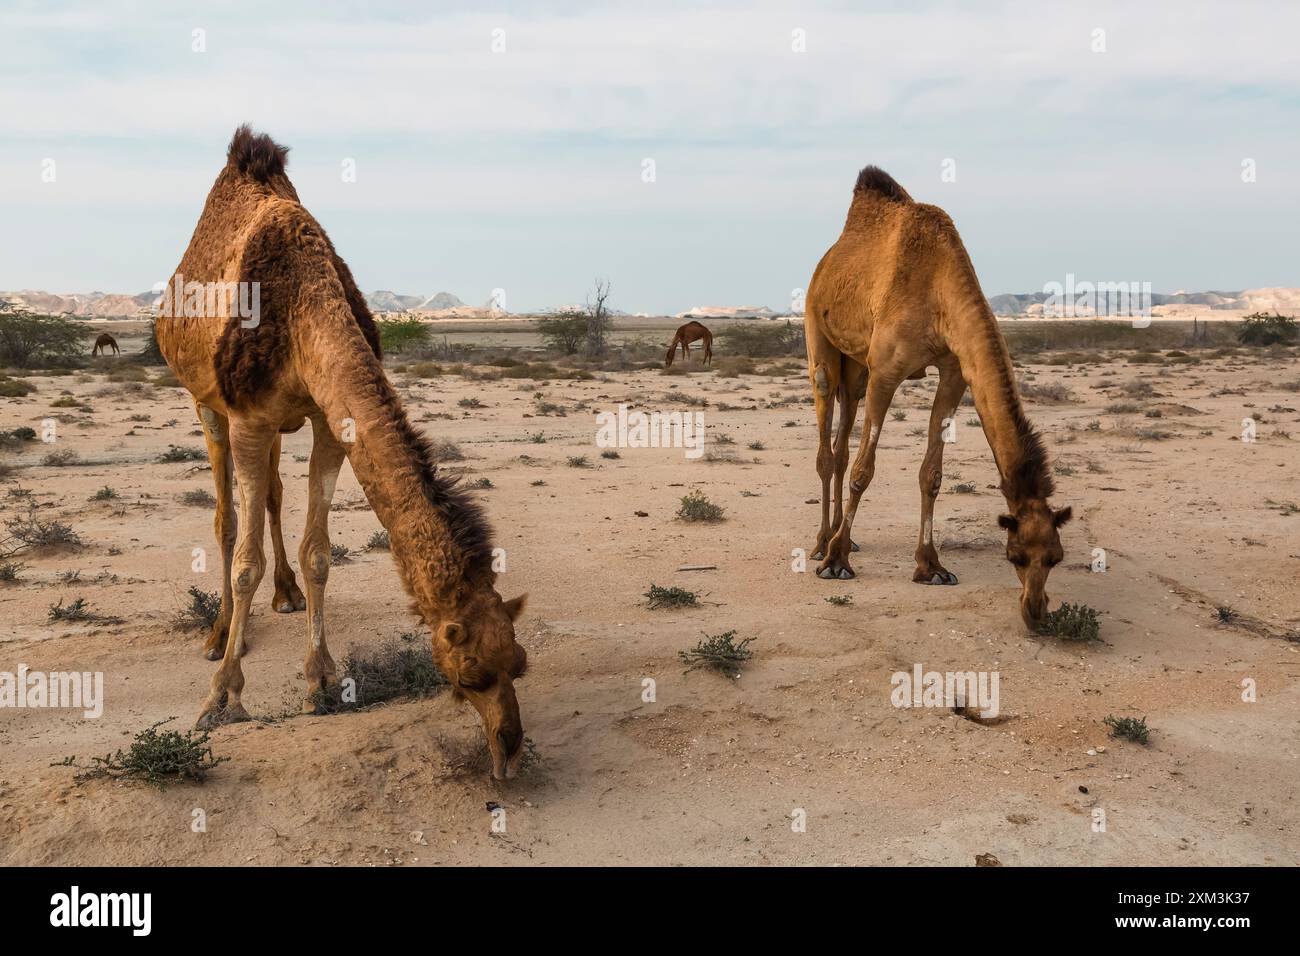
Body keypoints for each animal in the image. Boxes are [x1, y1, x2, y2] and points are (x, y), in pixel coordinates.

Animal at [158, 126, 529, 779]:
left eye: (520, 664)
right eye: (470, 676)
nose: (509, 748)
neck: (301, 300)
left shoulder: (328, 422)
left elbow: (319, 553)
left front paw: (322, 681)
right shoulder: (248, 418)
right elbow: (245, 559)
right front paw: (222, 697)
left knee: (272, 497)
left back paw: (284, 597)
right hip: (206, 406)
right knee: (226, 518)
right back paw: (221, 632)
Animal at [805, 166, 1071, 628]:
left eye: (1054, 557)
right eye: (1016, 556)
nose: (1036, 611)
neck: (938, 285)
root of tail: (826, 263)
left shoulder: (953, 372)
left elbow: (931, 475)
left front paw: (931, 567)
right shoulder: (886, 372)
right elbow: (864, 471)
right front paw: (836, 563)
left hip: (854, 368)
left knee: (840, 443)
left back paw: (845, 536)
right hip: (819, 340)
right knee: (826, 445)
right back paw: (824, 542)